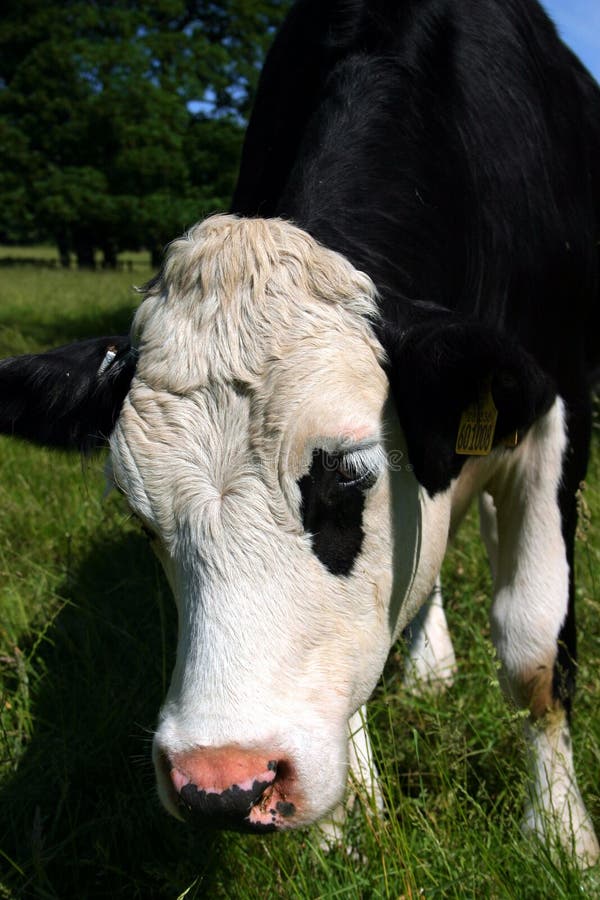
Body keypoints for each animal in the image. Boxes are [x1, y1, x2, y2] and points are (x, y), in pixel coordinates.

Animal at [1, 0, 599, 866]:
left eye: (349, 477)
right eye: (142, 520)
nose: (222, 783)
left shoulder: (557, 407)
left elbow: (532, 650)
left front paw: (559, 832)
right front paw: (347, 824)